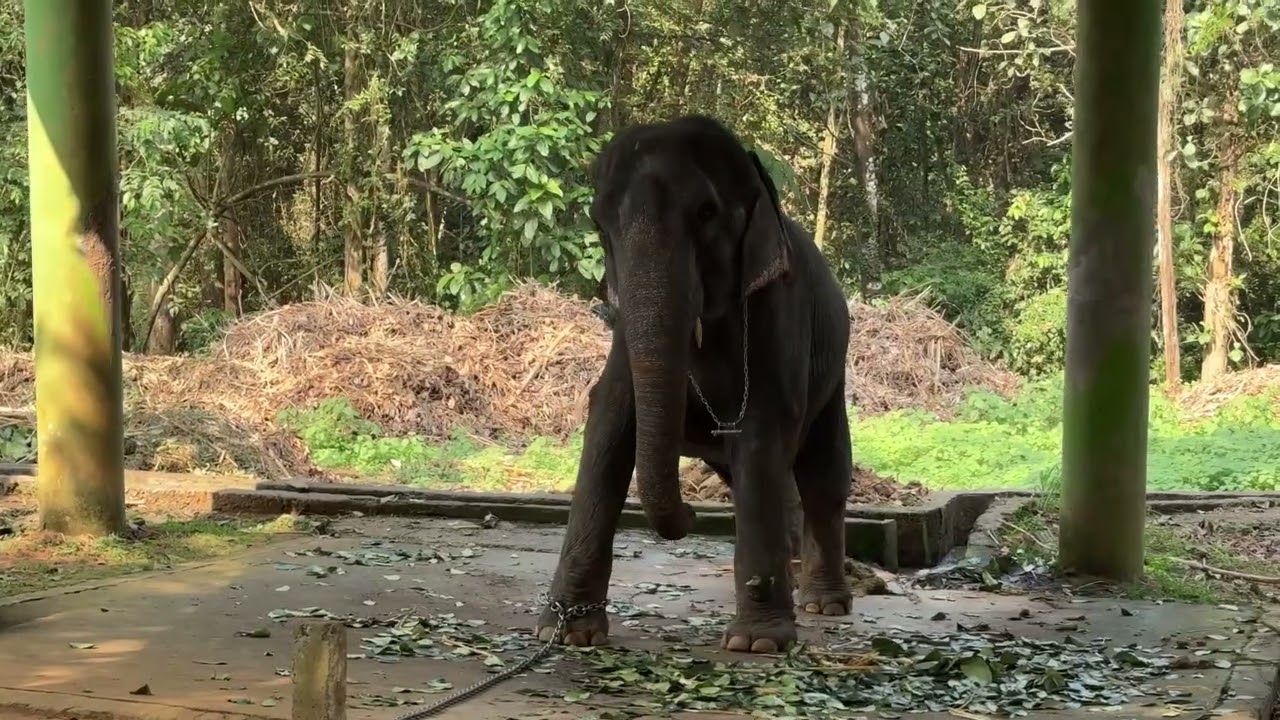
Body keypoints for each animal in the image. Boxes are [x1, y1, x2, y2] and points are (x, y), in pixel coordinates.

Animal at [536, 114, 853, 654]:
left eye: (706, 212)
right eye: (599, 224)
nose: (690, 518)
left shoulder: (778, 315)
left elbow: (761, 433)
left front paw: (757, 644)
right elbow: (609, 426)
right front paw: (565, 632)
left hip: (834, 375)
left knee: (824, 477)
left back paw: (823, 604)